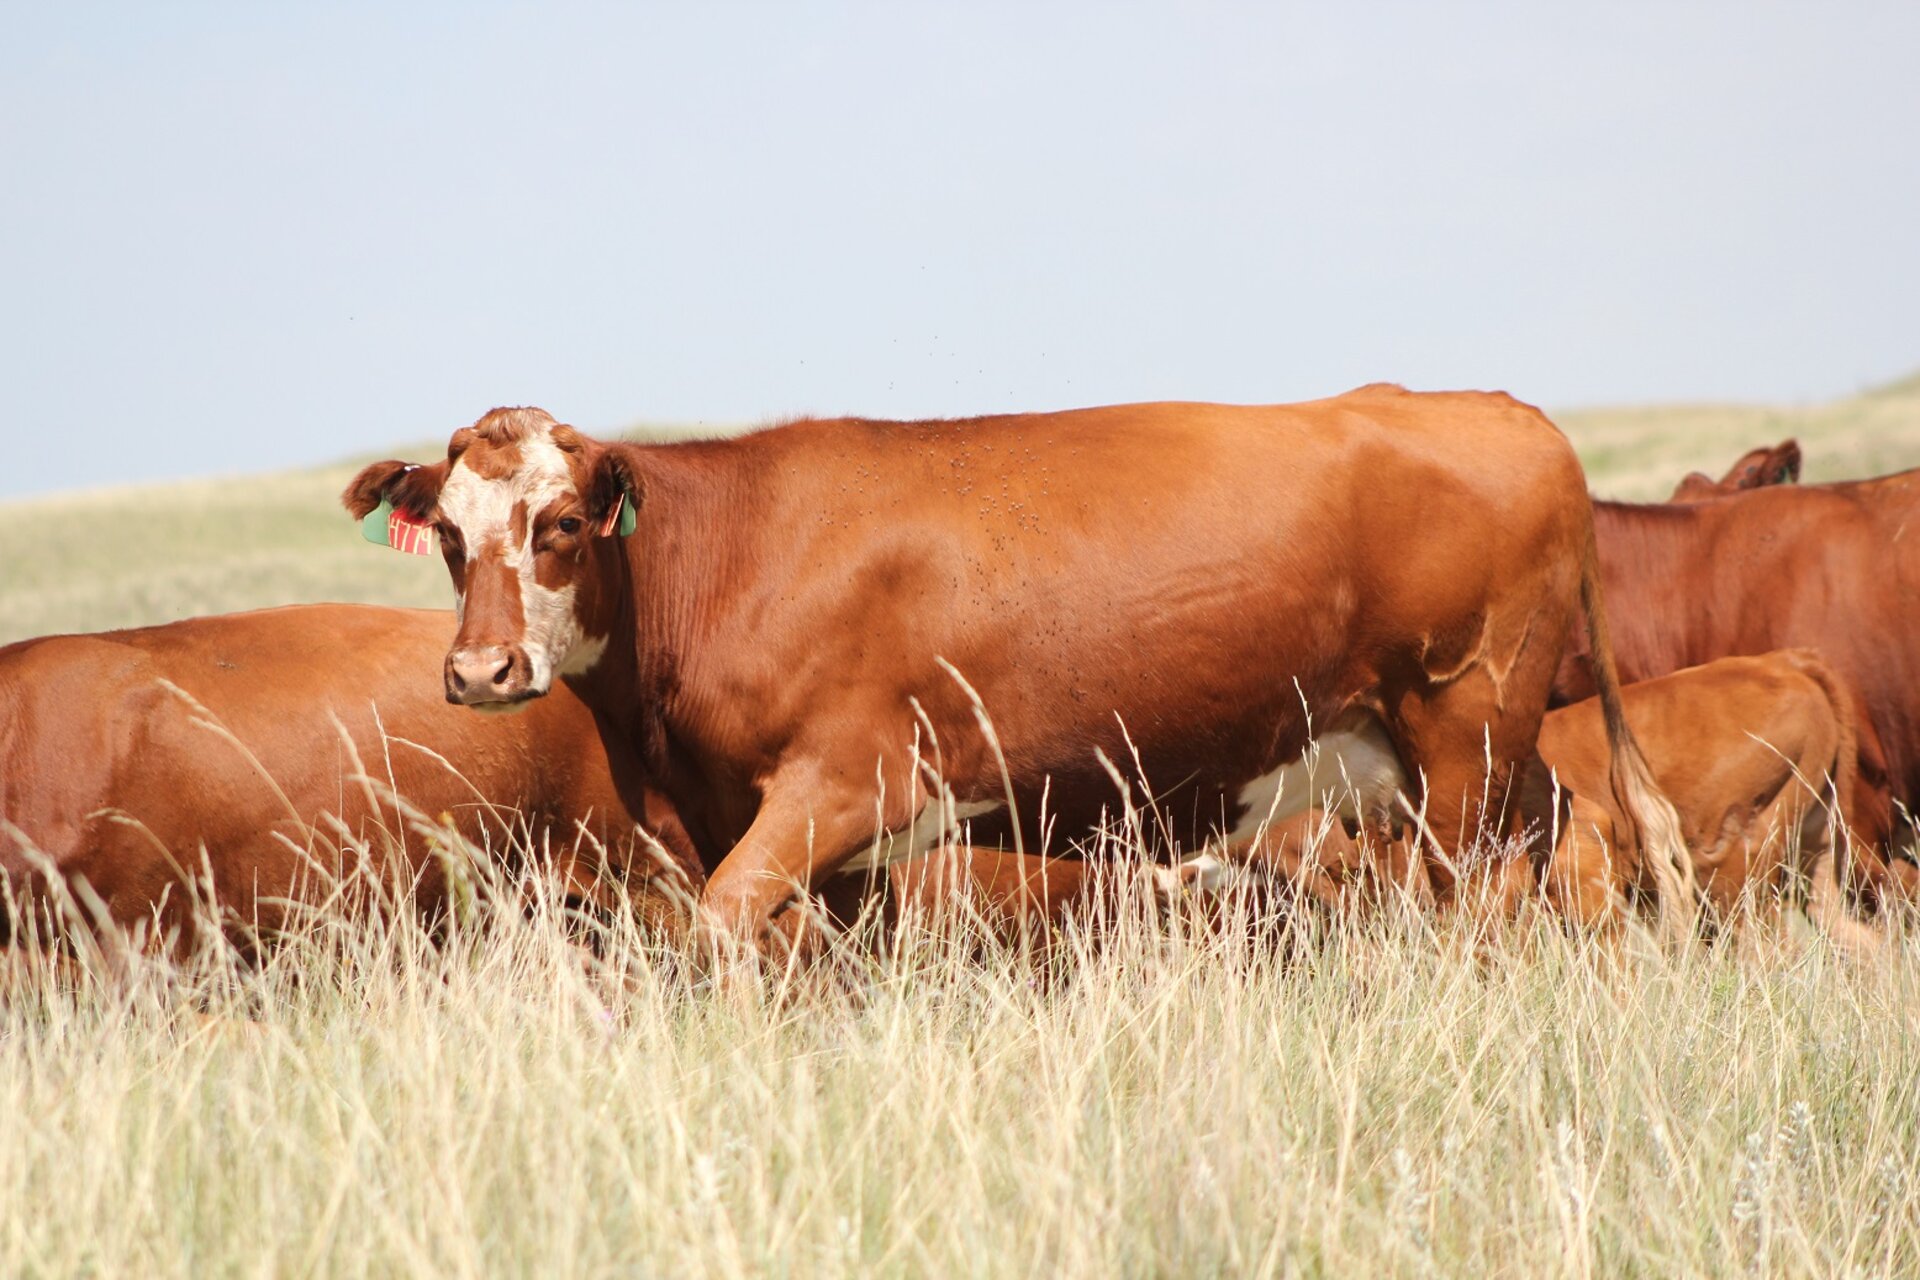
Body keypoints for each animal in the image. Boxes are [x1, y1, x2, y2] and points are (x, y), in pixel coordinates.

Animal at [343, 390, 1697, 951]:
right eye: (450, 533)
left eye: (564, 524)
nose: (482, 669)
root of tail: (1505, 410)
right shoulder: (831, 853)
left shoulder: (844, 786)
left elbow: (724, 924)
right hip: (1466, 746)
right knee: (1565, 829)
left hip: (1466, 727)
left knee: (1480, 886)